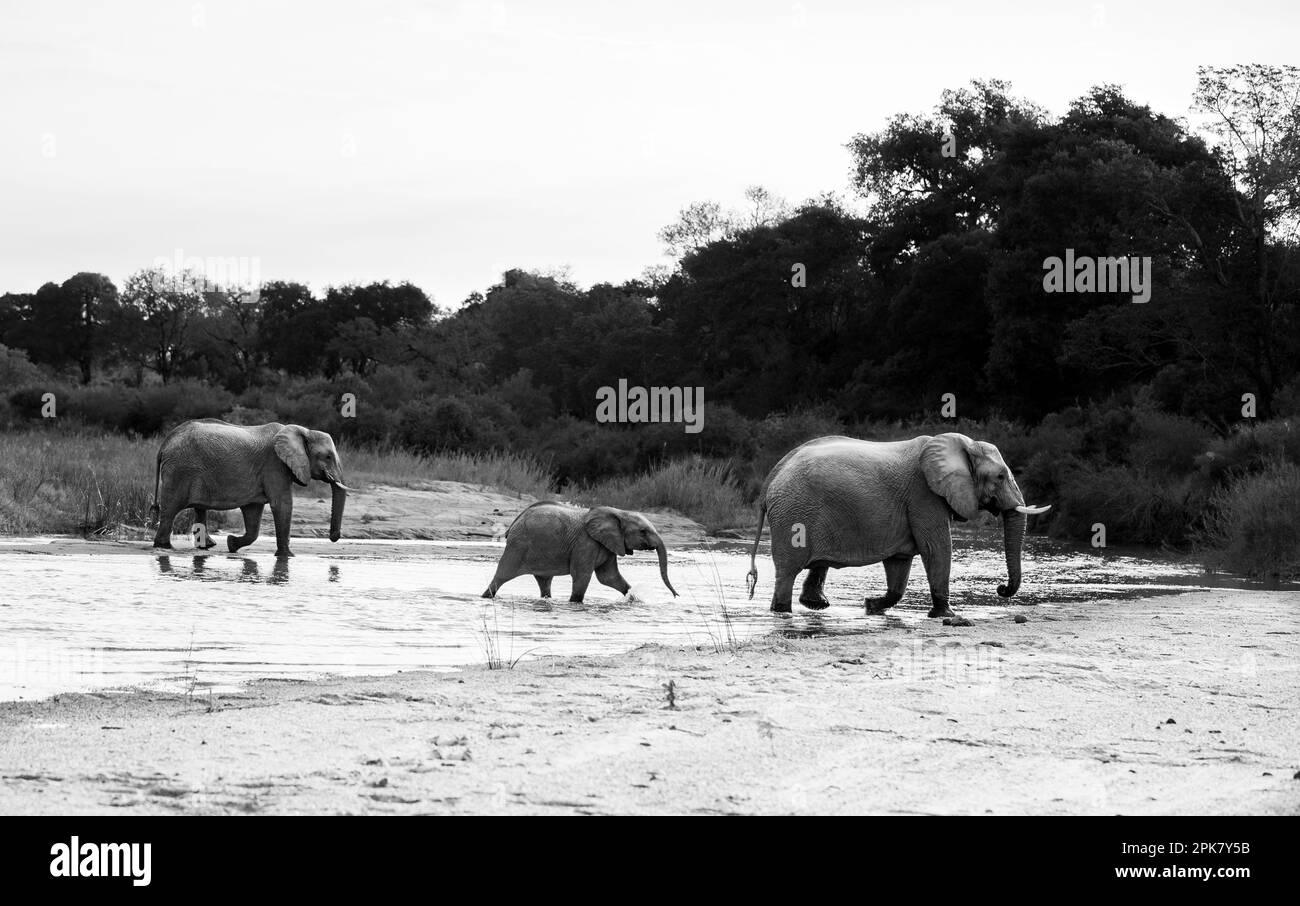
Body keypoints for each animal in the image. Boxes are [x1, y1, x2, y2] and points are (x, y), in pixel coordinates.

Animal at [149, 419, 350, 557]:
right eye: (328, 457)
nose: (334, 537)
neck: (302, 431)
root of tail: (165, 443)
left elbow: (253, 511)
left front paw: (231, 544)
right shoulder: (275, 465)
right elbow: (282, 505)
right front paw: (288, 557)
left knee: (198, 508)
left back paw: (207, 546)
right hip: (180, 470)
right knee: (171, 509)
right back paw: (165, 547)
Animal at [482, 502, 679, 602]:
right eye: (643, 531)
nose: (677, 596)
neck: (619, 512)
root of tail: (514, 522)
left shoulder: (608, 544)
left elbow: (609, 577)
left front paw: (633, 597)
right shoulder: (586, 543)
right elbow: (582, 575)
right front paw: (575, 603)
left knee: (544, 581)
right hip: (518, 545)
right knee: (502, 576)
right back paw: (486, 597)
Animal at [745, 434, 1049, 617]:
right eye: (1000, 476)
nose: (1000, 589)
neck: (961, 444)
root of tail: (770, 480)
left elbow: (900, 562)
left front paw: (871, 606)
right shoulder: (924, 495)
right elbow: (936, 548)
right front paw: (947, 615)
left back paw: (816, 605)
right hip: (793, 515)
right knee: (788, 571)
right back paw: (783, 611)